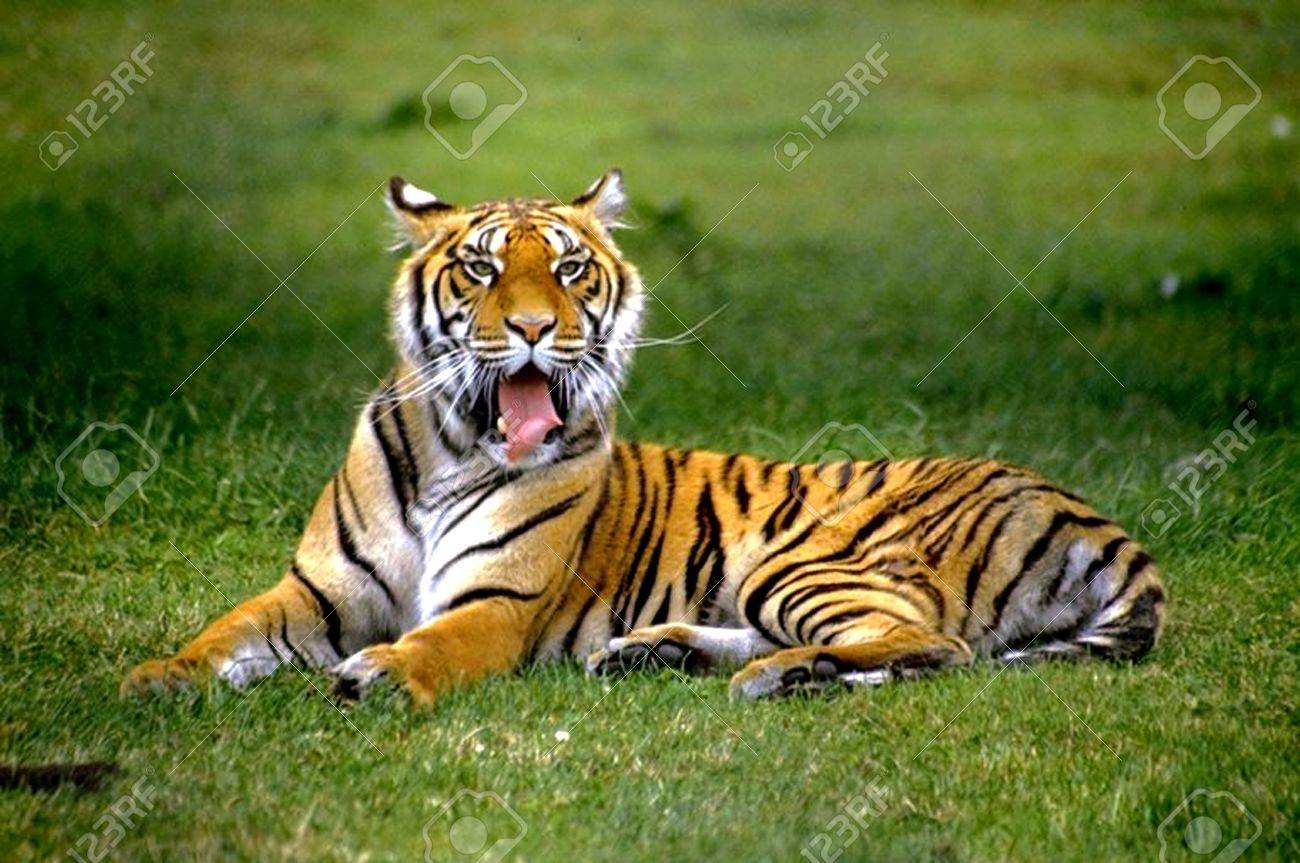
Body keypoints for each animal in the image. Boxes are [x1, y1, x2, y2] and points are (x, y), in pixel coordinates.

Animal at [122, 169, 1165, 704]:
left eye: (569, 267)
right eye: (482, 269)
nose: (535, 326)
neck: (452, 445)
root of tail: (1095, 517)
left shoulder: (494, 602)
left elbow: (433, 643)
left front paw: (379, 671)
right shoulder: (315, 592)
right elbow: (227, 629)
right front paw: (156, 676)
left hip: (802, 560)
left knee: (928, 645)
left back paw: (785, 675)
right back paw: (655, 653)